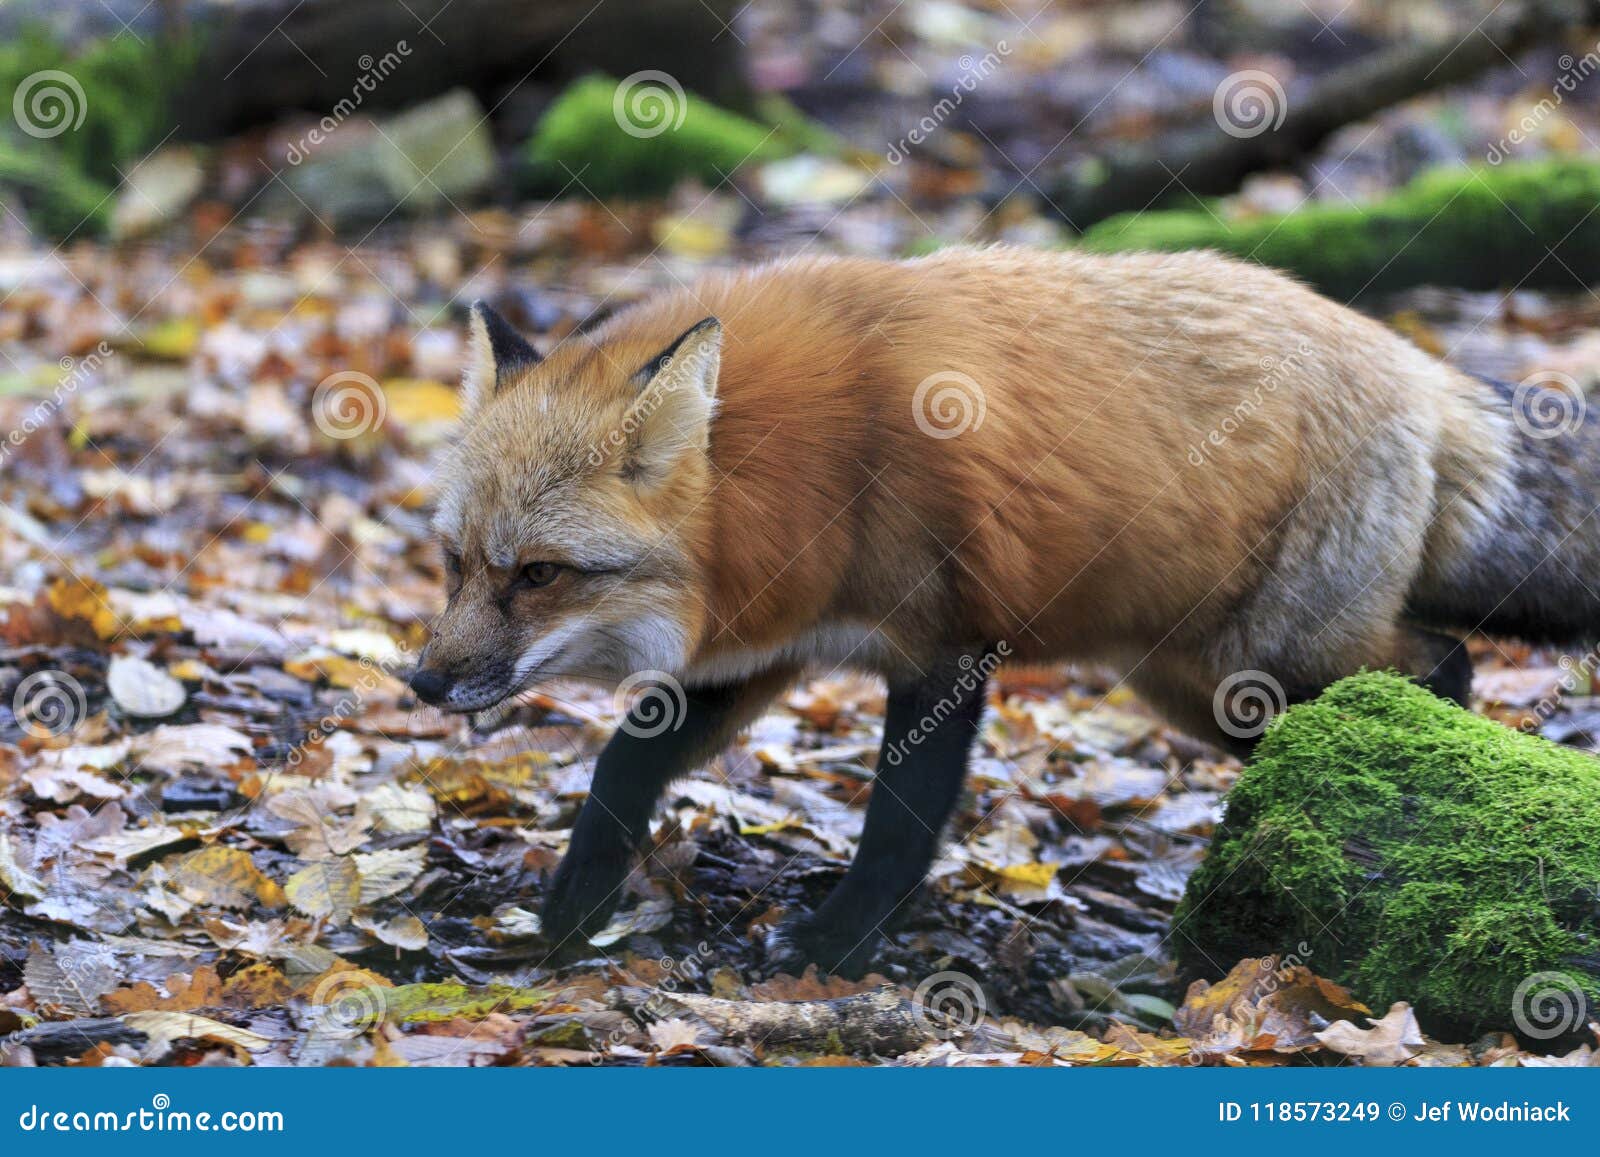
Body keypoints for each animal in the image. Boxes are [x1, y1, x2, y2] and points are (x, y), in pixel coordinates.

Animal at [409, 245, 1599, 975]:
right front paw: (573, 906)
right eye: (456, 563)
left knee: (1443, 664)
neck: (803, 471)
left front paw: (837, 947)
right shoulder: (768, 645)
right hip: (1198, 687)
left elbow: (899, 824)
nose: (421, 680)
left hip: (1269, 657)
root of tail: (1414, 363)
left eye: (538, 574)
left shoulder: (945, 648)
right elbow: (624, 764)